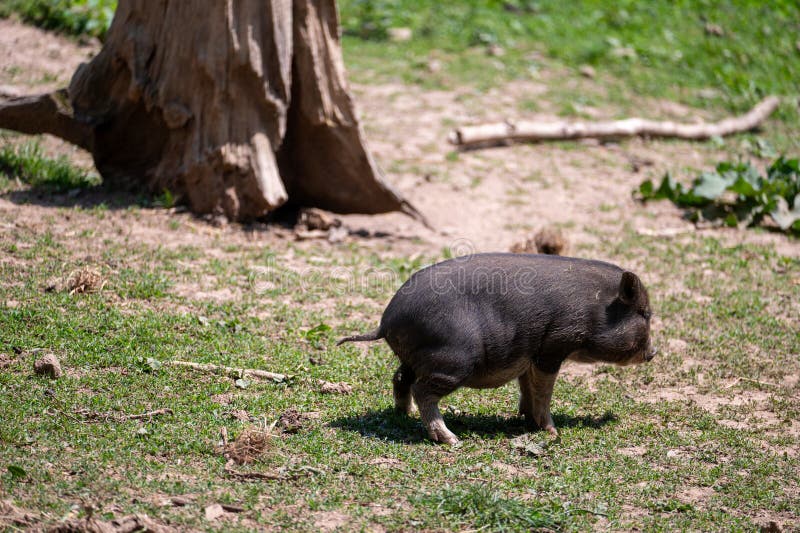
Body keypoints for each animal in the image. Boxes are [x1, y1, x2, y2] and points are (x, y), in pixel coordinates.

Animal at [338, 253, 655, 445]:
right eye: (645, 314)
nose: (653, 354)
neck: (596, 308)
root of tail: (386, 320)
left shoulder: (530, 353)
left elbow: (527, 385)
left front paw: (526, 419)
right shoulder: (553, 346)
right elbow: (543, 389)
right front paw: (553, 433)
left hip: (414, 357)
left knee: (400, 378)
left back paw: (405, 414)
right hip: (454, 361)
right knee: (422, 390)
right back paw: (451, 440)